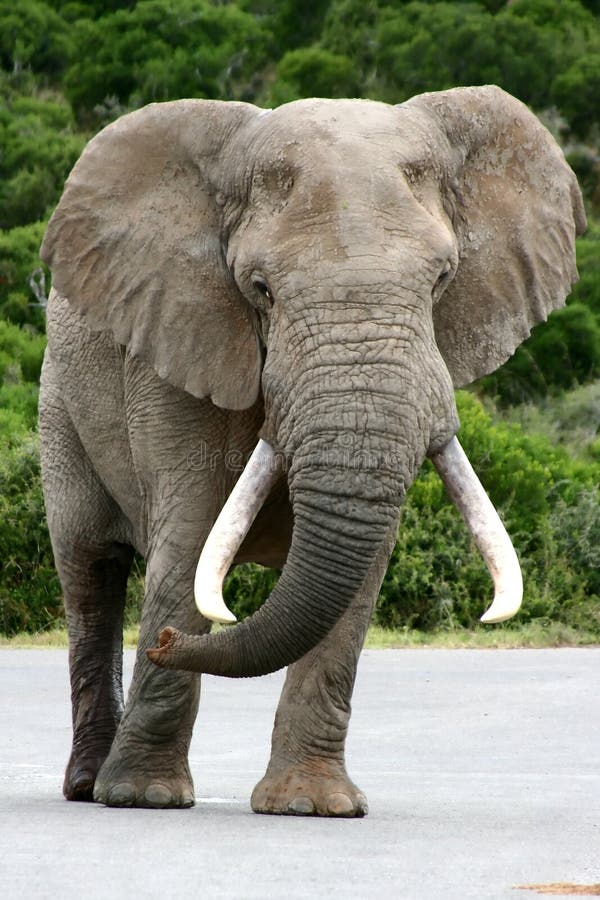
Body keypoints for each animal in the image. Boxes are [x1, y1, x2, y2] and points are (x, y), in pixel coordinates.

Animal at [39, 85, 585, 816]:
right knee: (89, 571)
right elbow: (186, 543)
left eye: (441, 281)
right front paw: (143, 796)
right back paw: (87, 786)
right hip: (60, 405)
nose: (163, 646)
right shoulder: (174, 349)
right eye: (260, 288)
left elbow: (358, 581)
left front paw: (312, 805)